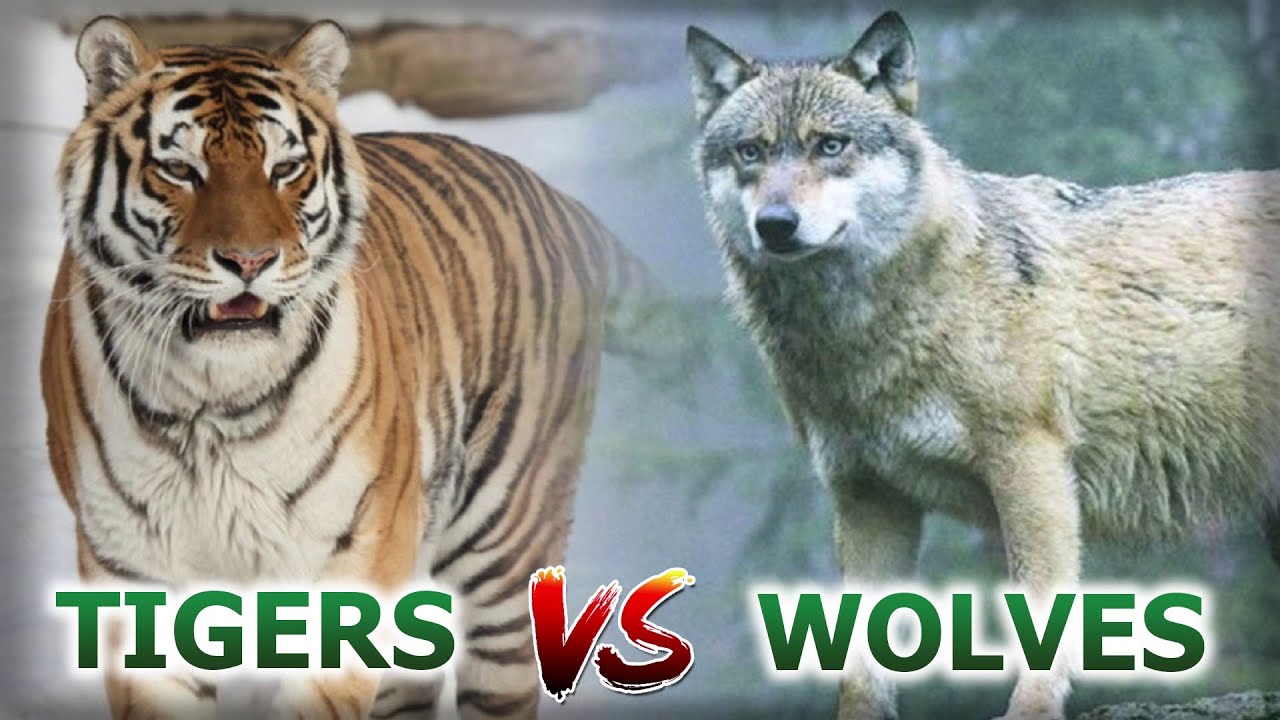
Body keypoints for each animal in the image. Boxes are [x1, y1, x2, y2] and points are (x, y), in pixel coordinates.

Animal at [41, 16, 654, 720]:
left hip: (503, 542)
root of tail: (550, 195)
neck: (215, 396)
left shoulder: (354, 549)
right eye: (178, 169)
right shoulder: (132, 564)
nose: (249, 261)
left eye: (285, 168)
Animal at [687, 10, 1280, 720]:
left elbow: (1043, 615)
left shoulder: (1030, 465)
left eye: (830, 146)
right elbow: (857, 664)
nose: (775, 223)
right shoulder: (867, 495)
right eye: (751, 152)